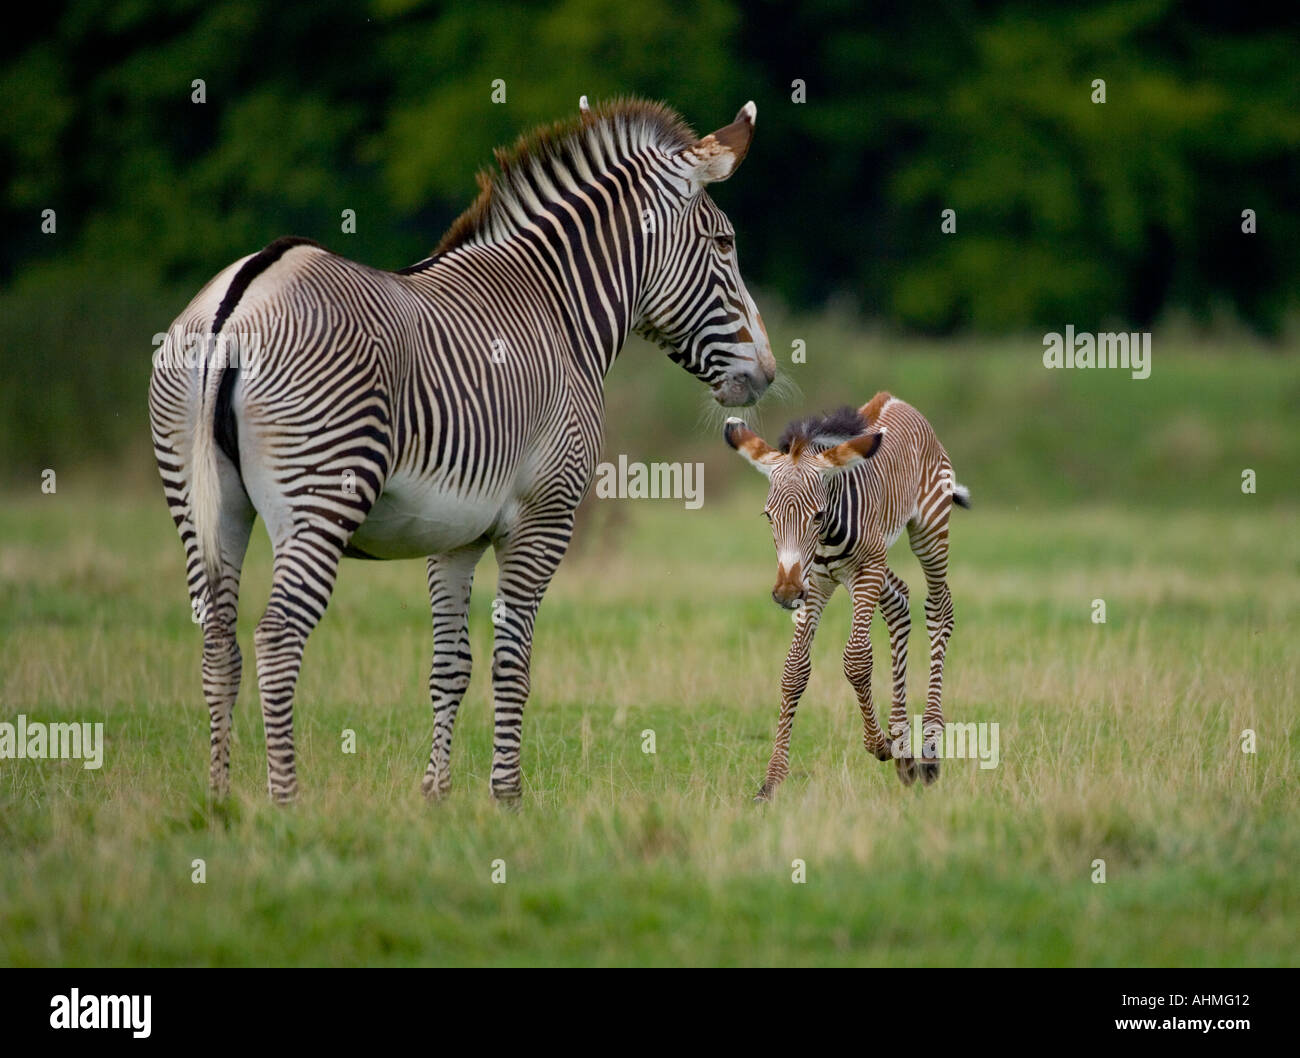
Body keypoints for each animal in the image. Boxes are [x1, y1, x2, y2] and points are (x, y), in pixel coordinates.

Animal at [149, 98, 775, 803]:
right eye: (724, 244)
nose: (768, 373)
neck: (557, 309)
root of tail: (240, 297)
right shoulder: (543, 517)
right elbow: (512, 659)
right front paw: (507, 796)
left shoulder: (453, 534)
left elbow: (450, 665)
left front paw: (436, 794)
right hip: (320, 496)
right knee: (278, 639)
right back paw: (286, 802)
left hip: (203, 503)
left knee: (218, 644)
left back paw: (219, 801)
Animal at [723, 392, 969, 799]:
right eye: (769, 516)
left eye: (817, 515)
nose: (785, 594)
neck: (824, 541)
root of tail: (893, 398)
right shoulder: (813, 582)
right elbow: (794, 670)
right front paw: (771, 782)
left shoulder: (862, 572)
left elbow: (856, 660)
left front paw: (880, 746)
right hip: (877, 562)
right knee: (899, 602)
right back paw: (905, 753)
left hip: (928, 530)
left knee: (939, 609)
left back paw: (928, 751)